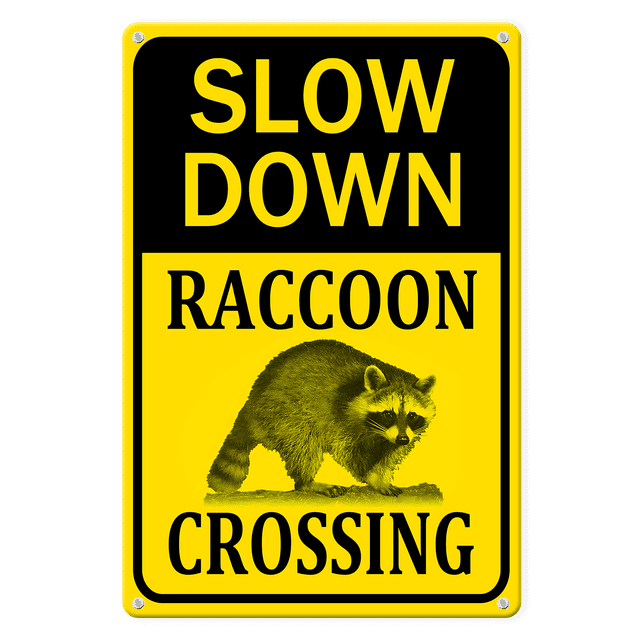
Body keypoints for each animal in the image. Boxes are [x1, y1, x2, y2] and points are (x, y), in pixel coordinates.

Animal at [207, 340, 436, 497]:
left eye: (412, 415)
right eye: (388, 414)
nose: (402, 439)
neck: (378, 433)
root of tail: (252, 400)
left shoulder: (400, 435)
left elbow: (389, 456)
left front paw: (381, 475)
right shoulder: (340, 418)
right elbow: (348, 453)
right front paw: (372, 477)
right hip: (286, 413)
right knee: (303, 445)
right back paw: (306, 482)